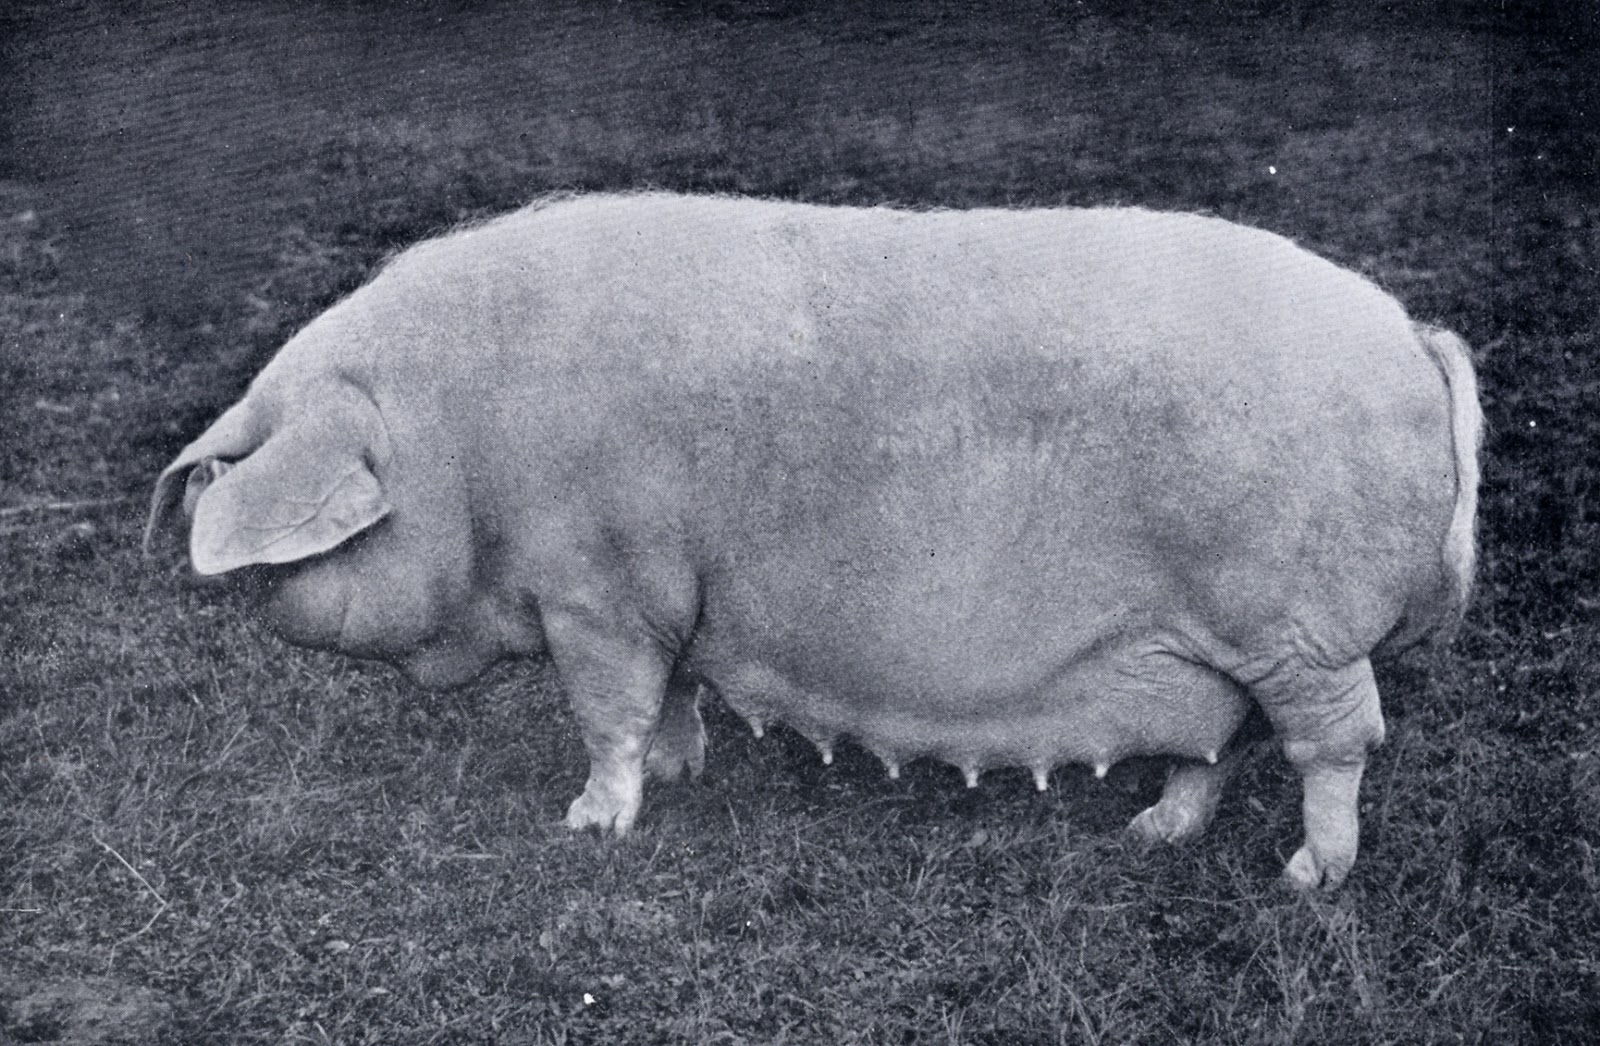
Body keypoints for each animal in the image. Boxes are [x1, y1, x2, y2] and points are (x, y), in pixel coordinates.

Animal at [146, 192, 1482, 888]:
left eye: (234, 469)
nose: (191, 541)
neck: (452, 443)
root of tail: (1414, 334)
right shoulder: (669, 593)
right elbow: (678, 692)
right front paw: (687, 772)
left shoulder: (596, 590)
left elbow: (610, 712)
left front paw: (589, 824)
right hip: (1225, 641)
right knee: (1217, 741)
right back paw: (1150, 830)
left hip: (1299, 628)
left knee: (1337, 741)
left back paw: (1307, 881)